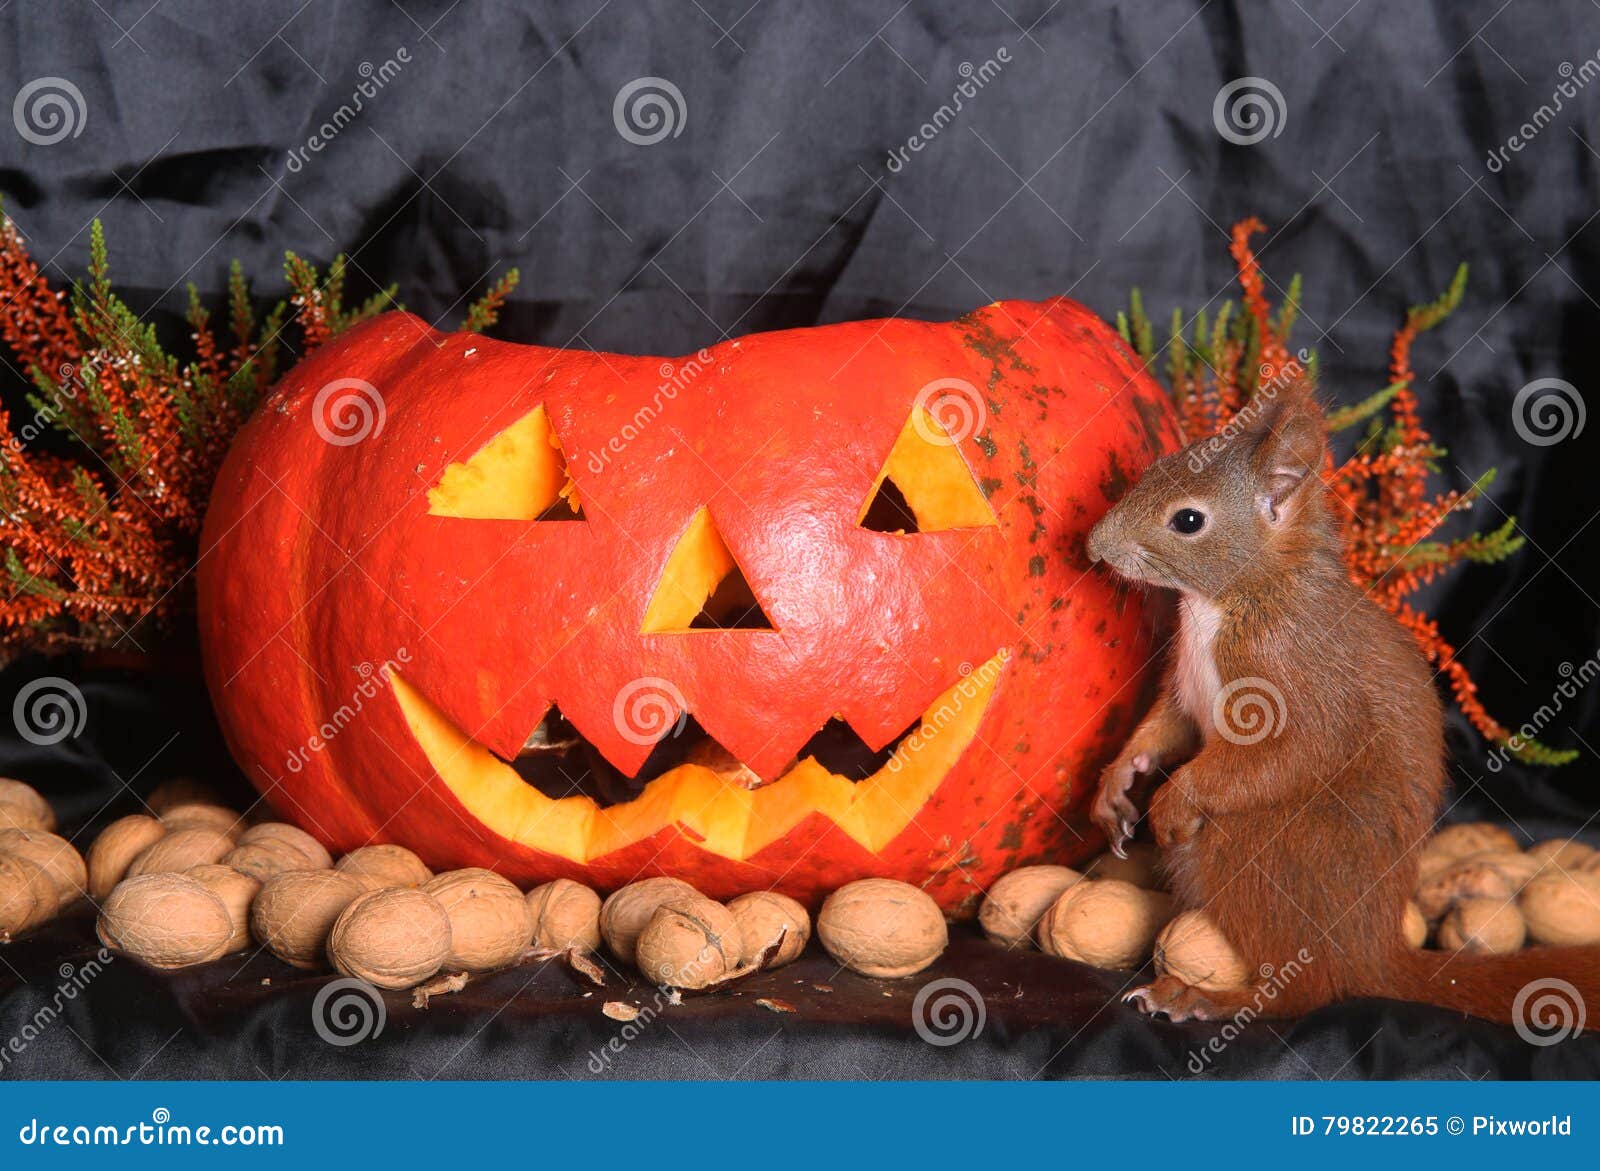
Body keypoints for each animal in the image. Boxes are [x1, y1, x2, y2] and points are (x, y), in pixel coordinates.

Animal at [1084, 382, 1599, 1024]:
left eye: (1188, 520)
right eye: (1154, 467)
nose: (1094, 546)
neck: (1231, 599)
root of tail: (1370, 951)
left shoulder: (1294, 676)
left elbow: (1294, 752)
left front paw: (1175, 799)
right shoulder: (1187, 687)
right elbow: (1166, 728)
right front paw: (1117, 782)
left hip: (1262, 850)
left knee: (1309, 989)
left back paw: (1208, 997)